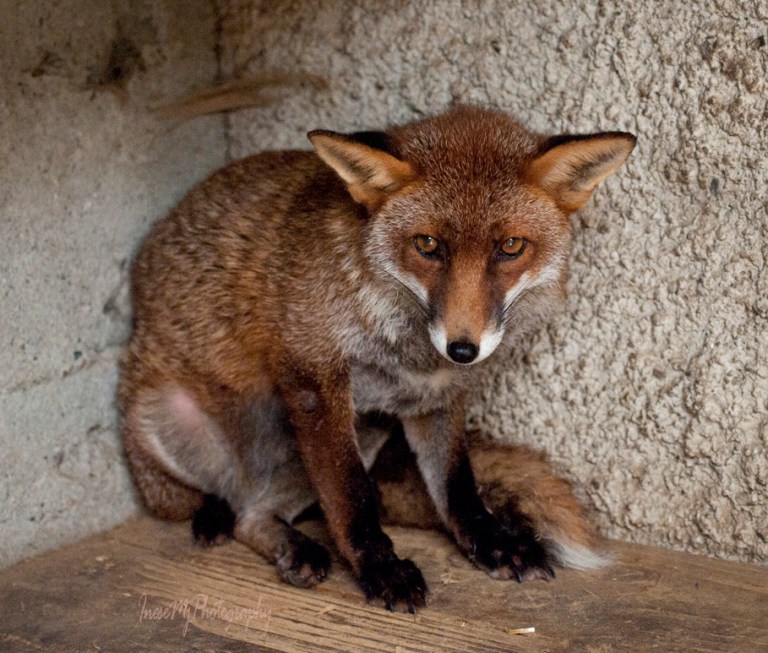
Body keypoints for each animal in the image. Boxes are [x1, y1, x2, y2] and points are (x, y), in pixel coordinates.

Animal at [117, 105, 634, 612]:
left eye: (511, 247)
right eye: (427, 245)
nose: (462, 349)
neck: (405, 347)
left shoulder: (433, 397)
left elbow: (458, 488)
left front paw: (494, 543)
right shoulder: (313, 379)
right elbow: (353, 497)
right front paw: (382, 569)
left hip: (366, 426)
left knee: (254, 513)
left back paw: (289, 544)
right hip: (165, 422)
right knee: (227, 506)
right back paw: (221, 516)